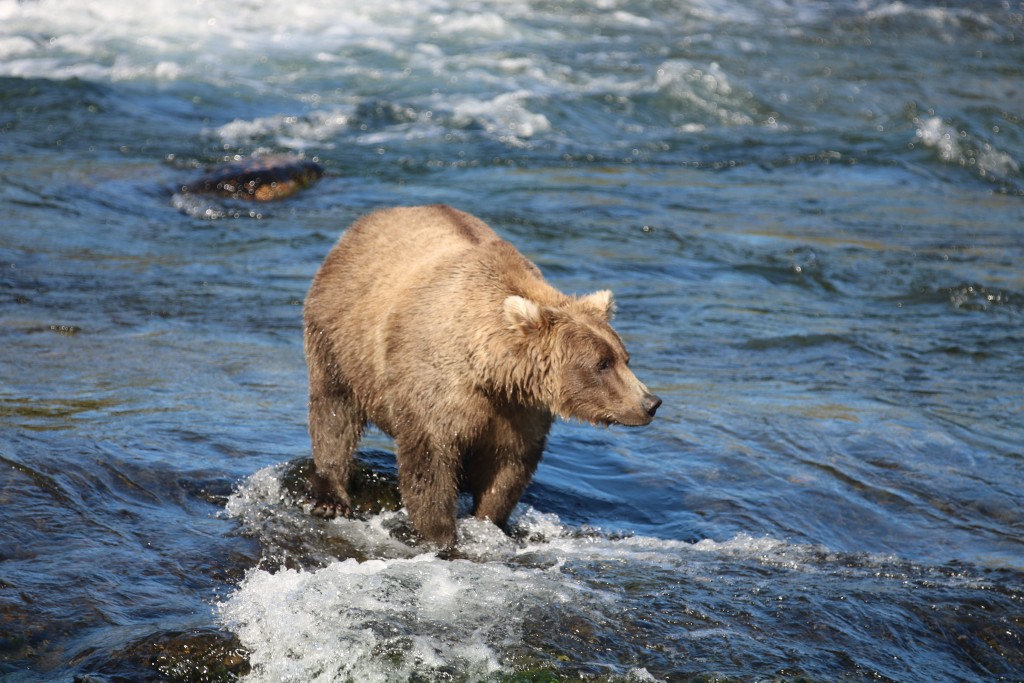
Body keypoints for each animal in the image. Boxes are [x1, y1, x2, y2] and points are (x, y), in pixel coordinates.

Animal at [303, 204, 661, 548]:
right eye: (602, 364)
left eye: (624, 357)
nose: (650, 403)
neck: (492, 375)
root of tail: (368, 220)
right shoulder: (436, 390)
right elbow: (430, 462)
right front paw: (441, 536)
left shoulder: (518, 412)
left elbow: (508, 468)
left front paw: (491, 521)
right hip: (339, 336)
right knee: (334, 412)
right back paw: (331, 496)